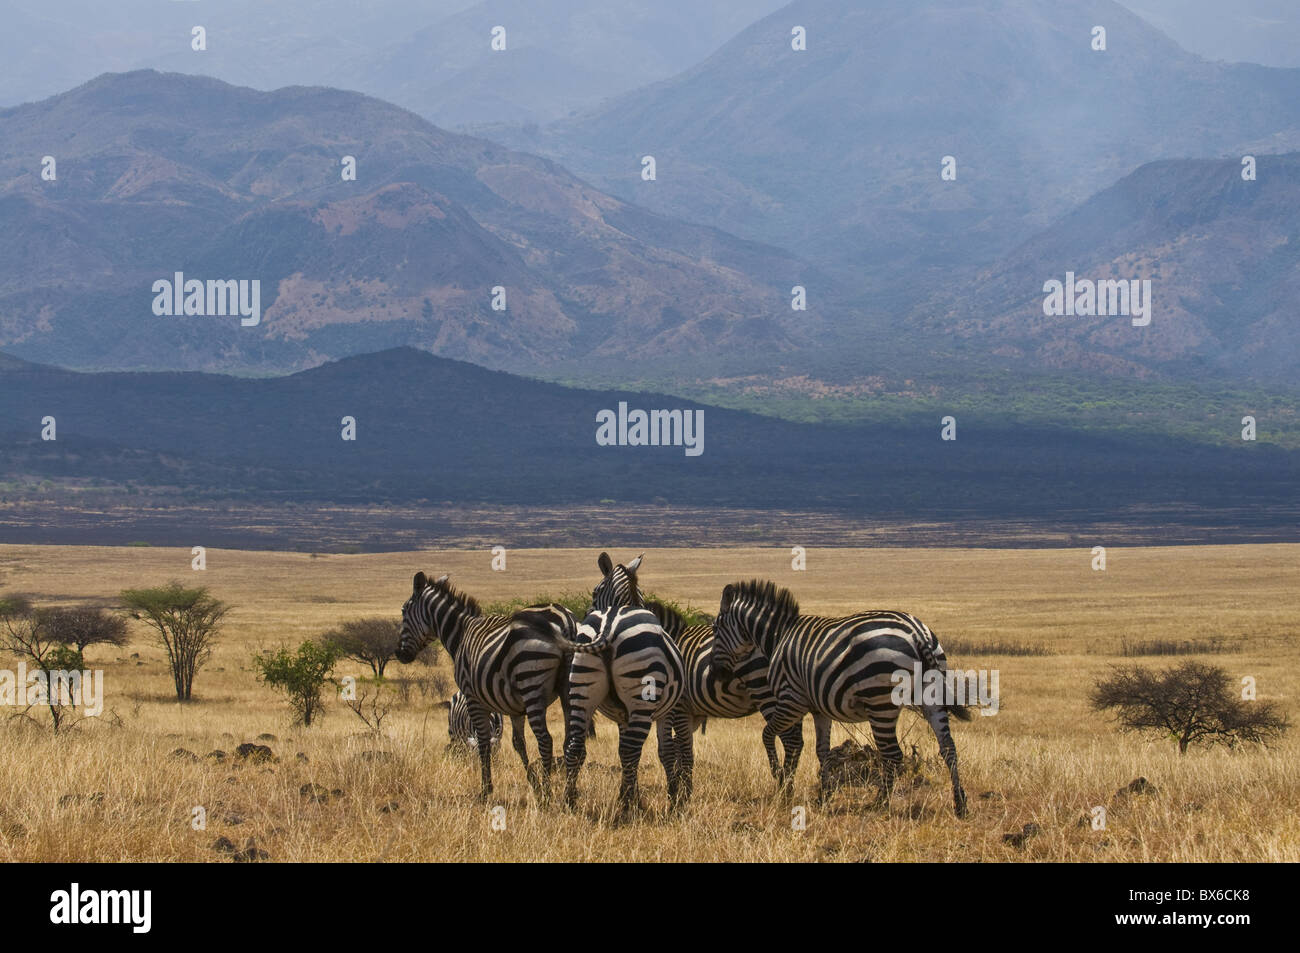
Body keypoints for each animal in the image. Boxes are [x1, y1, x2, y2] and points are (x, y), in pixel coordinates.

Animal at [396, 571, 579, 801]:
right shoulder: (515, 706)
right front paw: (533, 783)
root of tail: (565, 621)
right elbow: (518, 743)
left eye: (404, 611)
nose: (399, 654)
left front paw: (486, 790)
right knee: (572, 740)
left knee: (545, 740)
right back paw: (569, 795)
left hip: (532, 683)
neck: (460, 635)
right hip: (569, 685)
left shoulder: (472, 696)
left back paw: (548, 794)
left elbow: (483, 743)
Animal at [709, 580, 970, 818]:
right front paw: (824, 796)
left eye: (716, 630)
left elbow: (767, 734)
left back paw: (880, 803)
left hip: (880, 702)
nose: (716, 673)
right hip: (932, 696)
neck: (778, 637)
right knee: (948, 748)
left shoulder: (791, 699)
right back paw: (960, 804)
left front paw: (779, 776)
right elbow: (822, 751)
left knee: (893, 755)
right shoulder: (819, 709)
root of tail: (916, 632)